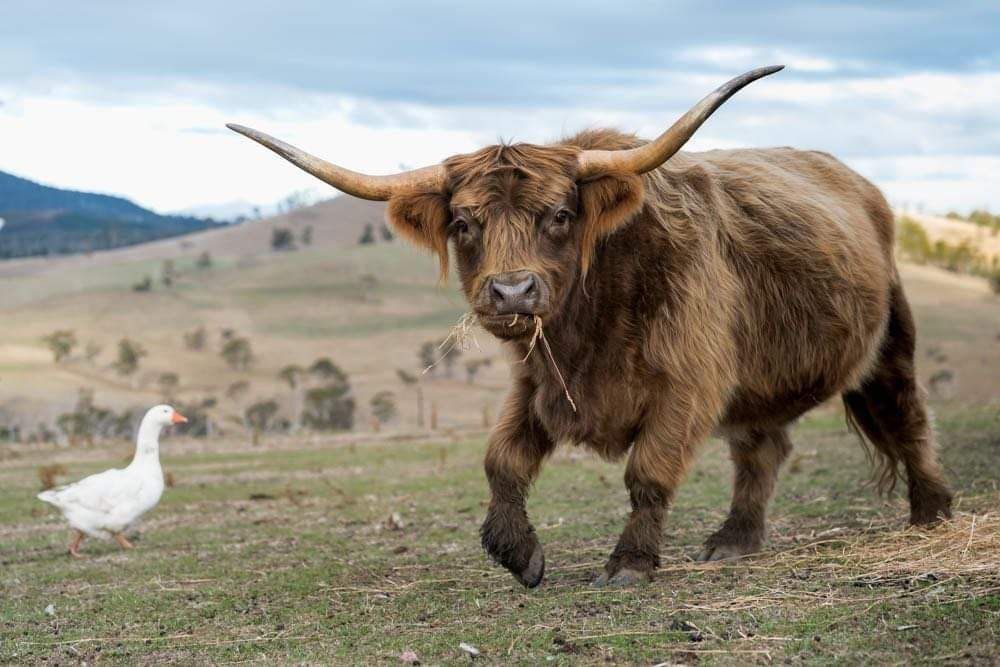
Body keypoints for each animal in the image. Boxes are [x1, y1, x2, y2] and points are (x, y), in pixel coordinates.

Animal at [228, 66, 953, 588]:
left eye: (558, 215)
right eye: (463, 222)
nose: (512, 290)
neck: (594, 317)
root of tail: (856, 180)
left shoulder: (690, 379)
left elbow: (648, 472)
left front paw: (629, 563)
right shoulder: (541, 382)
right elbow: (501, 459)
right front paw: (517, 552)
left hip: (889, 344)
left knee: (908, 416)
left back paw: (932, 511)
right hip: (758, 383)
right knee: (763, 449)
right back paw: (734, 540)